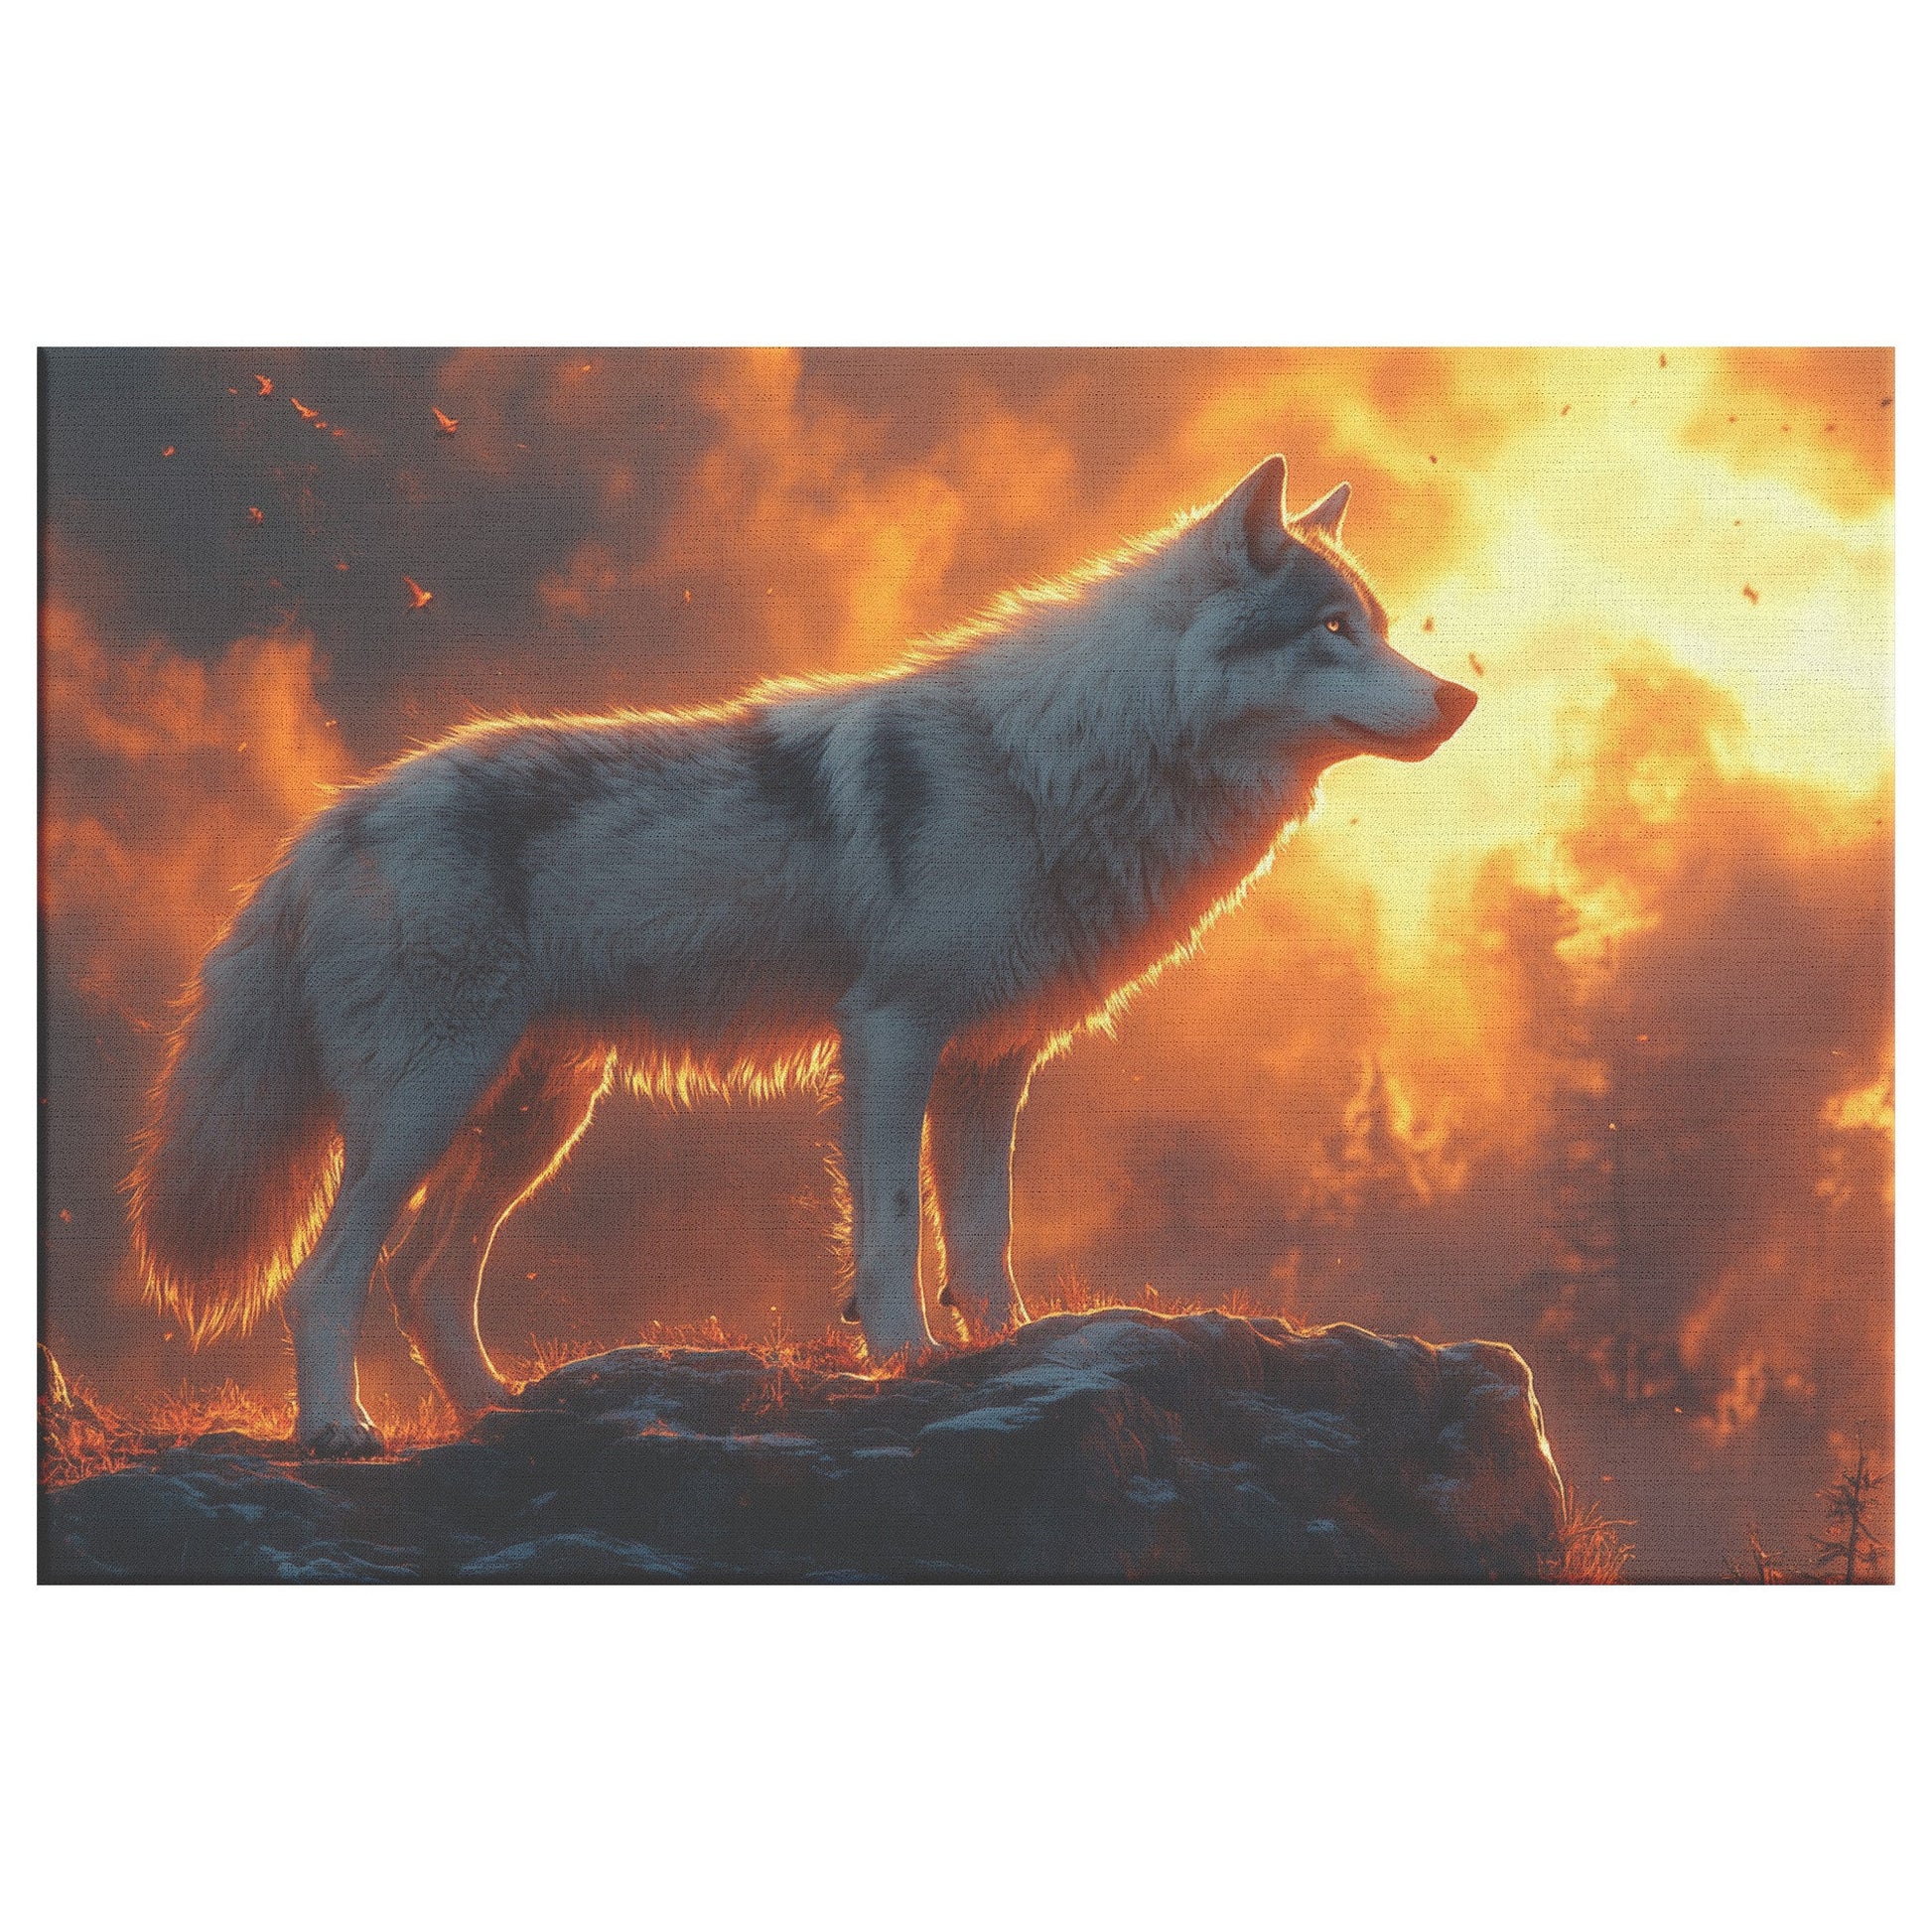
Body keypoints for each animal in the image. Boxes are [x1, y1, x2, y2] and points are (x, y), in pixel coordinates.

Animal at [130, 455, 1475, 1454]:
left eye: (1381, 629)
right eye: (1331, 629)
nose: (1460, 702)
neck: (1057, 761)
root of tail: (329, 819)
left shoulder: (992, 1059)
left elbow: (982, 1236)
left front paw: (1008, 1349)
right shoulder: (891, 1029)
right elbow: (891, 1225)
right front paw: (904, 1356)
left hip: (530, 1117)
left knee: (424, 1279)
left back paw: (501, 1415)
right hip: (428, 1105)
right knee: (329, 1273)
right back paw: (337, 1428)